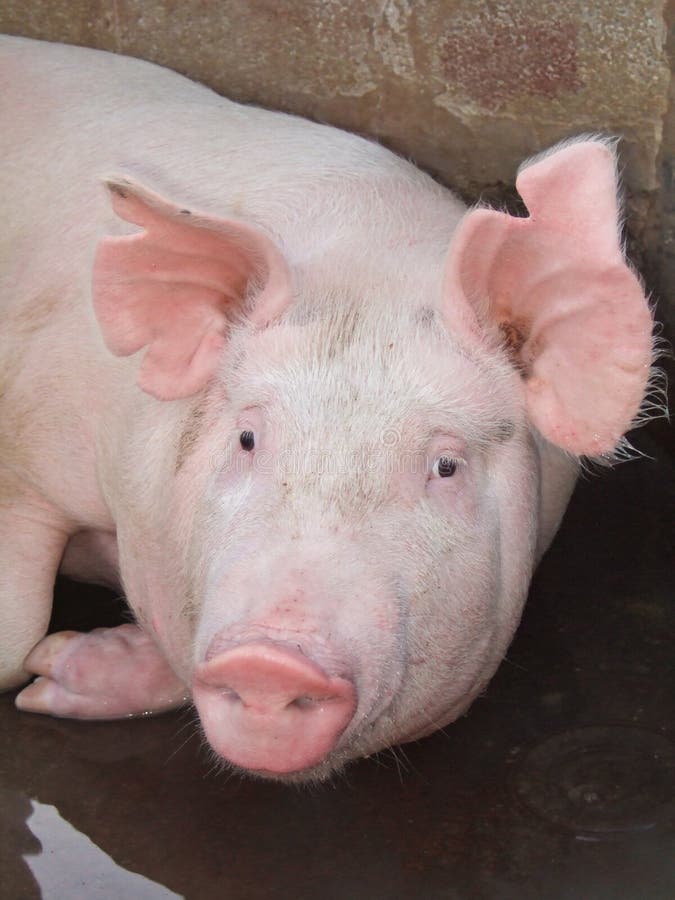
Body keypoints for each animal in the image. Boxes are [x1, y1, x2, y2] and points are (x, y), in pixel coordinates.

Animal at [0, 35, 655, 781]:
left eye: (447, 466)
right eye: (247, 437)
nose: (269, 662)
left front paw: (55, 672)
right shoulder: (32, 441)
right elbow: (14, 630)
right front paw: (38, 676)